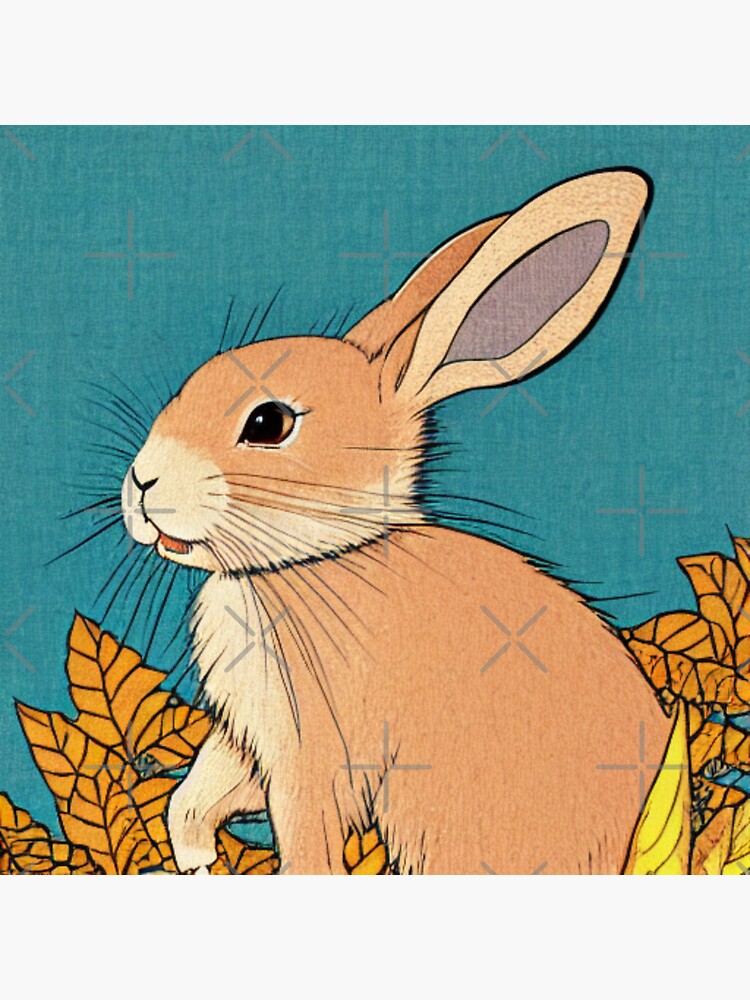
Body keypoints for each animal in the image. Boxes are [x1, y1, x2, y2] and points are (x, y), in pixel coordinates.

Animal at [122, 168, 671, 874]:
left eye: (269, 422)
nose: (143, 483)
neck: (314, 561)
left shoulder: (314, 756)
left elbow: (305, 844)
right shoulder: (249, 741)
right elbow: (194, 797)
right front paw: (196, 862)